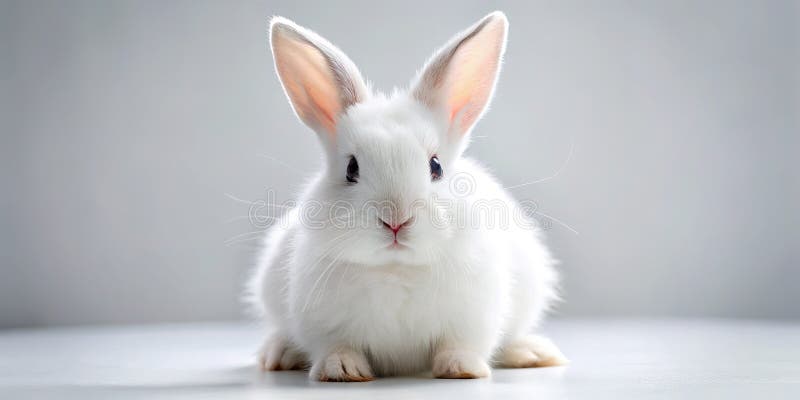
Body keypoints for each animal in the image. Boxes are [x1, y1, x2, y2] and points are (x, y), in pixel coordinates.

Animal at [248, 11, 567, 381]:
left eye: (436, 166)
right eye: (351, 169)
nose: (396, 221)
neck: (396, 268)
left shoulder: (473, 318)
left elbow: (460, 344)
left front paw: (462, 369)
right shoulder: (322, 323)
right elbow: (336, 345)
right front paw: (341, 369)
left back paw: (533, 353)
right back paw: (279, 354)